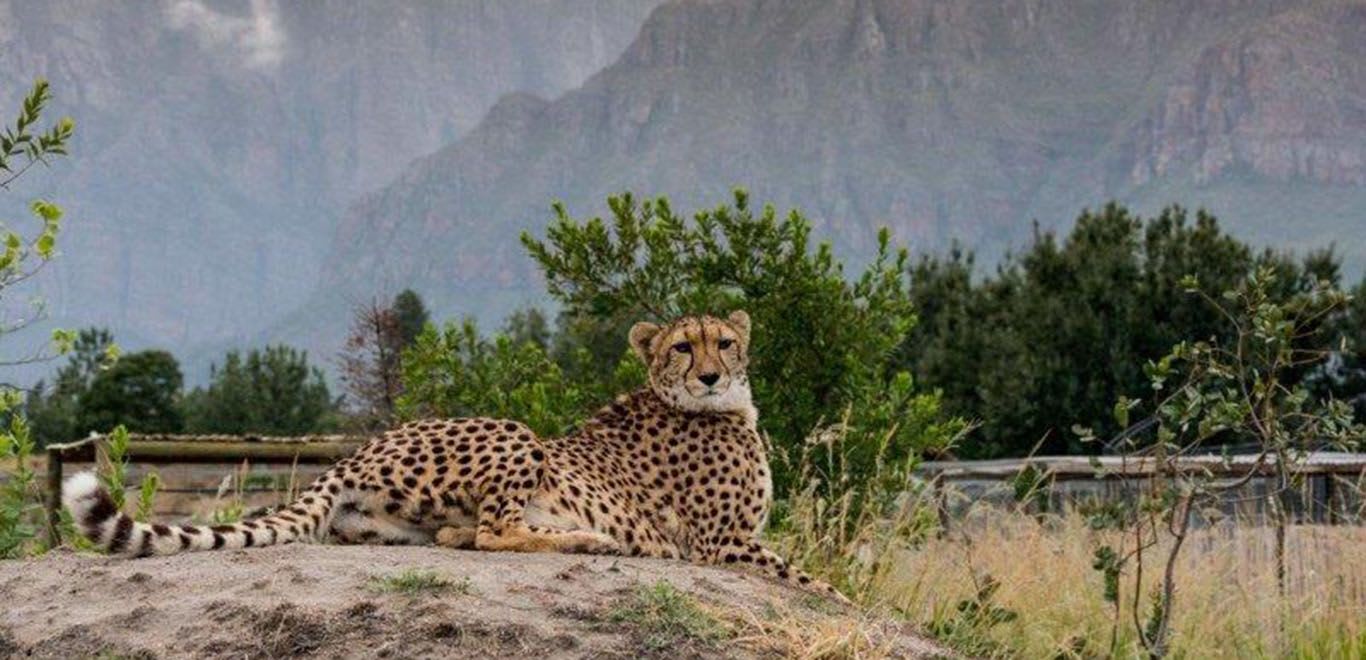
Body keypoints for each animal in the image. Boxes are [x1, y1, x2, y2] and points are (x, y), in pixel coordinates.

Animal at [63, 310, 847, 602]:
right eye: (684, 346)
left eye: (727, 342)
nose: (712, 375)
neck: (718, 409)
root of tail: (355, 452)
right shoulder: (722, 544)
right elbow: (817, 582)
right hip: (516, 433)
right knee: (495, 530)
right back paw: (594, 540)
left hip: (401, 518)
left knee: (456, 534)